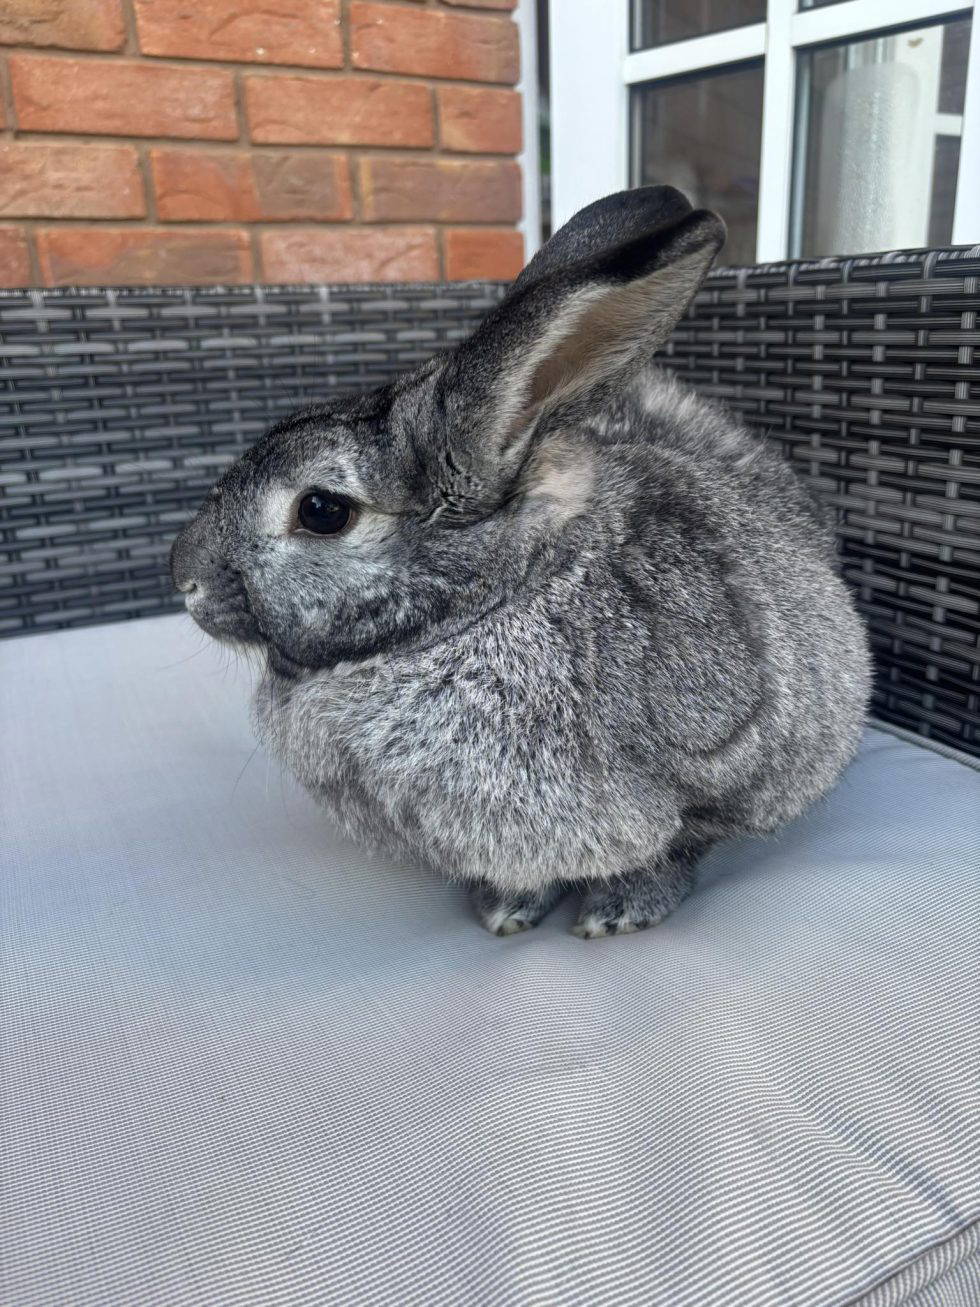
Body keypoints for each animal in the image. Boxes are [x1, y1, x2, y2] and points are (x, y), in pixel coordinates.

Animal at [170, 186, 871, 939]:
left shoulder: (733, 765)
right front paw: (506, 911)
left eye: (322, 510)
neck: (498, 596)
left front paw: (618, 913)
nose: (184, 576)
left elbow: (680, 842)